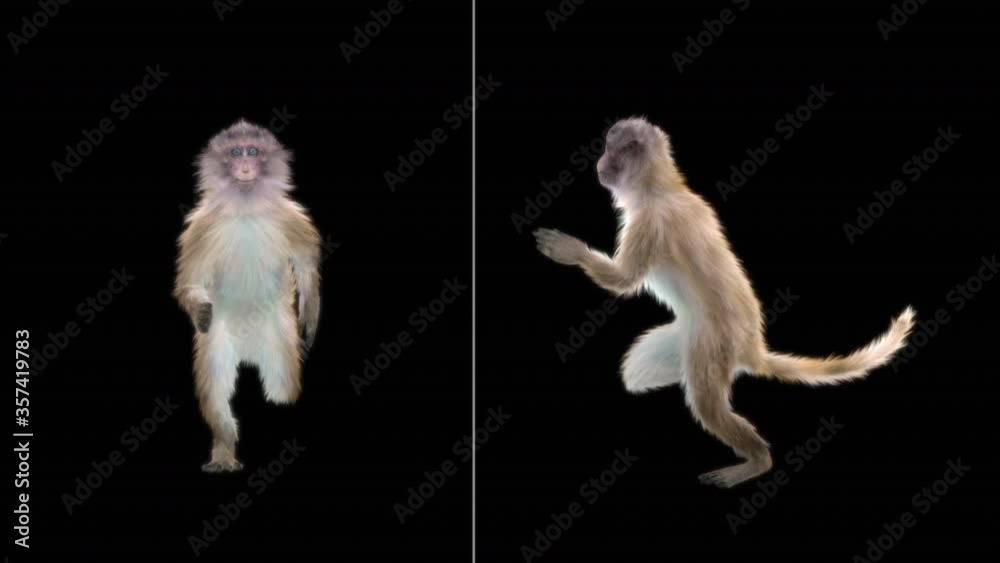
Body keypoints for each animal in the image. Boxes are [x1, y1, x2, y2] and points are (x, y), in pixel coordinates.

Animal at [174, 119, 321, 472]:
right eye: (235, 152)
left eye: (253, 151)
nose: (244, 167)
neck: (245, 206)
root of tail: (249, 354)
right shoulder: (202, 225)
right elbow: (189, 283)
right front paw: (200, 310)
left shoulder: (289, 216)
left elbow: (306, 265)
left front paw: (310, 317)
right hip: (219, 339)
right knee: (216, 385)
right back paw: (224, 449)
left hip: (279, 338)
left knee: (283, 391)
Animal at [534, 117, 915, 488]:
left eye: (611, 152)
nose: (600, 163)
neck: (660, 186)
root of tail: (751, 344)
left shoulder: (649, 222)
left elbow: (624, 281)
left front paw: (572, 251)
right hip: (692, 336)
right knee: (641, 371)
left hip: (715, 340)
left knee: (705, 400)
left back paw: (757, 461)